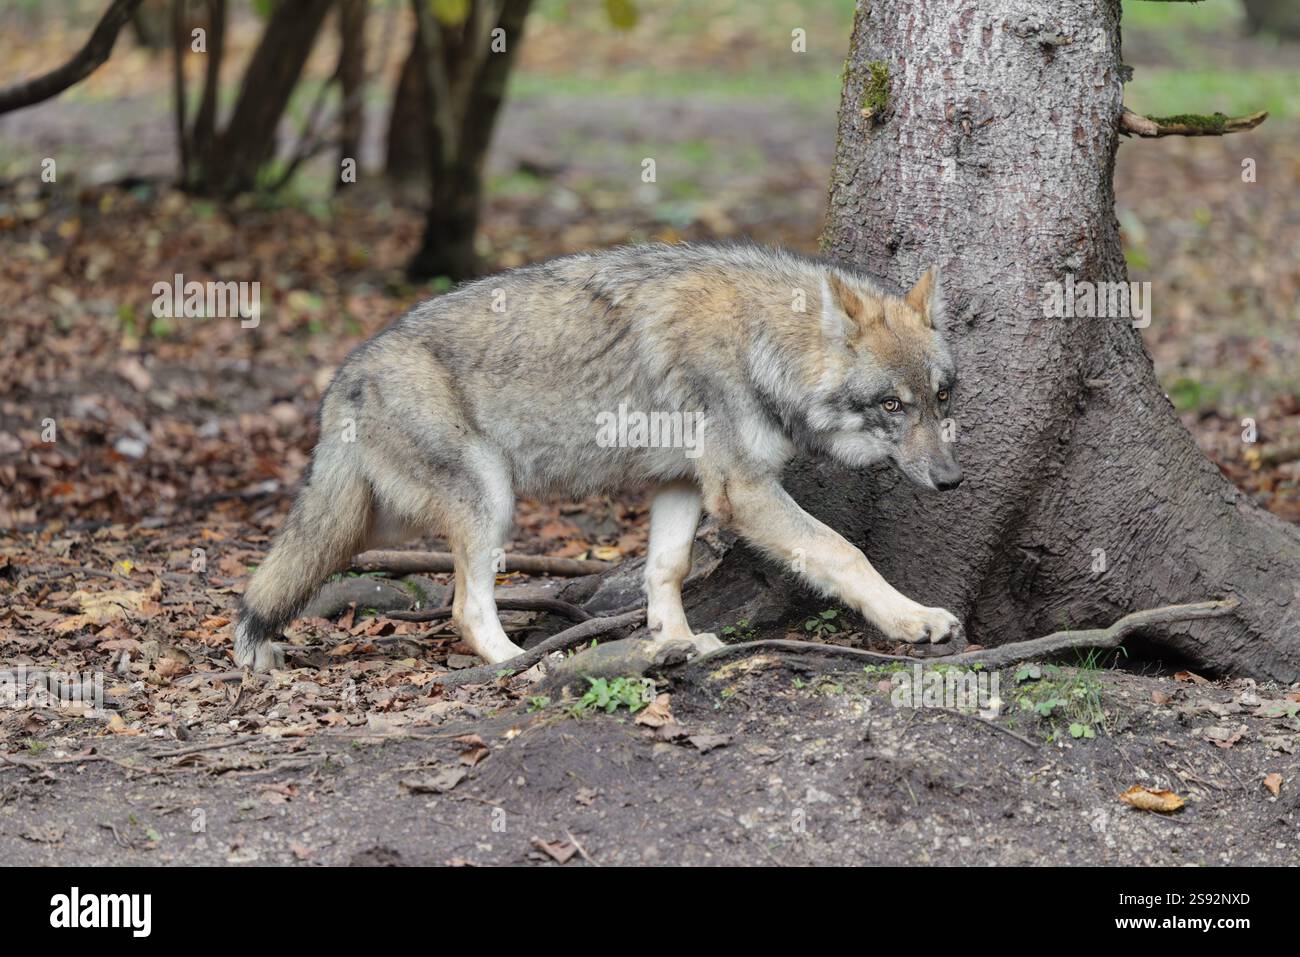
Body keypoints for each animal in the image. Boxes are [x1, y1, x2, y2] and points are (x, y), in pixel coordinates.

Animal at [233, 243, 964, 671]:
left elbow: (666, 571)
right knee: (466, 608)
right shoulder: (744, 491)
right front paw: (914, 619)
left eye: (939, 397)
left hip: (378, 520)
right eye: (891, 406)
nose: (953, 479)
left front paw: (675, 643)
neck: (761, 342)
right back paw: (521, 663)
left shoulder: (683, 484)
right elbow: (843, 551)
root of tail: (344, 378)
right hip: (489, 503)